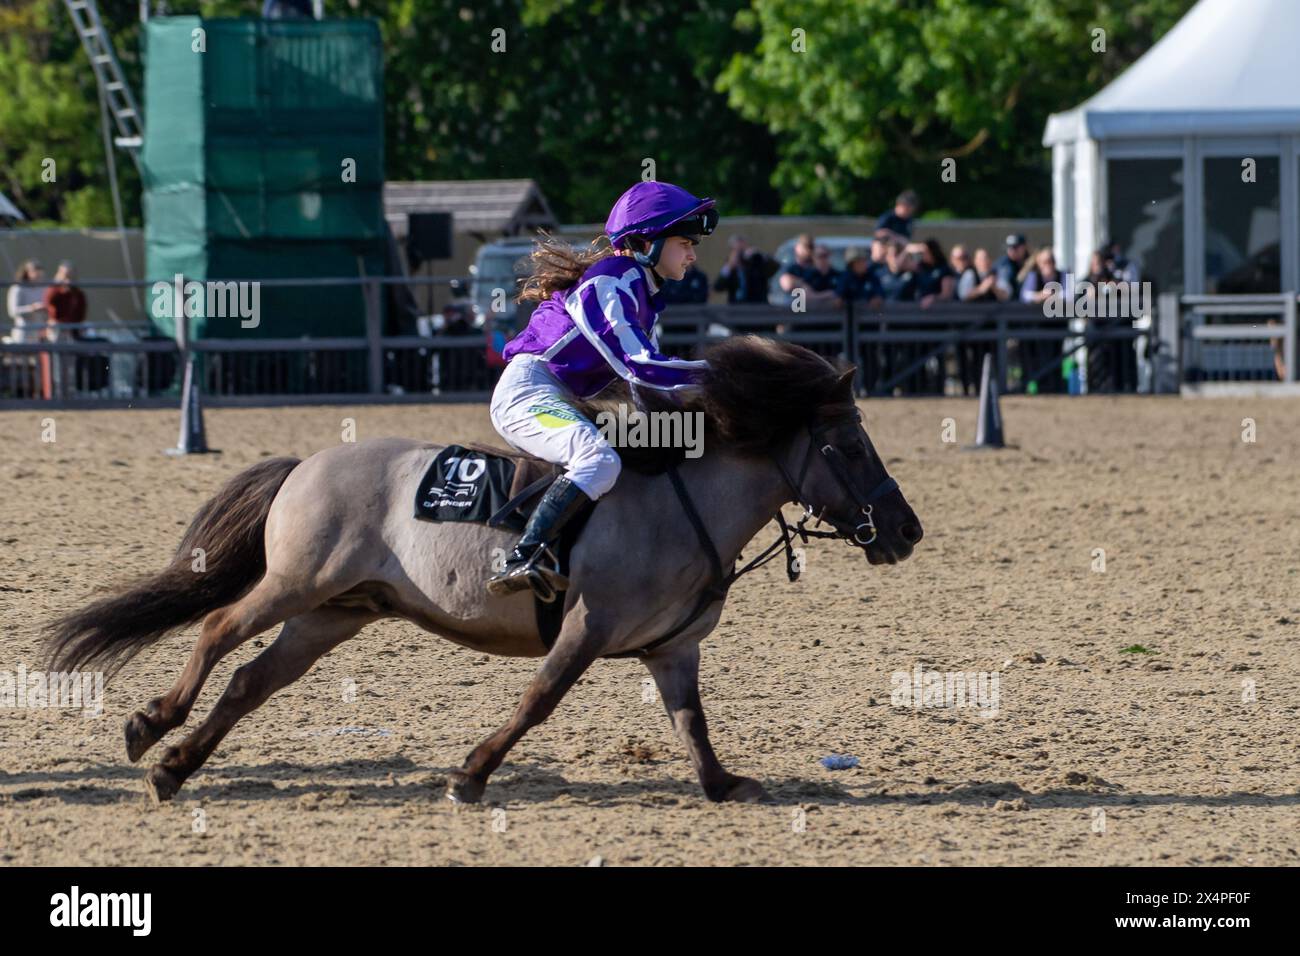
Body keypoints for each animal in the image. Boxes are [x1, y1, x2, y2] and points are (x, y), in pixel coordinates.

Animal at [44, 336, 923, 805]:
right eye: (849, 447)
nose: (907, 531)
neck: (680, 499)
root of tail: (308, 464)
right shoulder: (586, 626)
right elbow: (538, 701)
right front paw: (470, 774)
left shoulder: (675, 650)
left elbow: (692, 724)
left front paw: (722, 784)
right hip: (297, 585)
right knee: (219, 631)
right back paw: (149, 726)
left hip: (336, 611)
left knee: (251, 681)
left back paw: (174, 768)